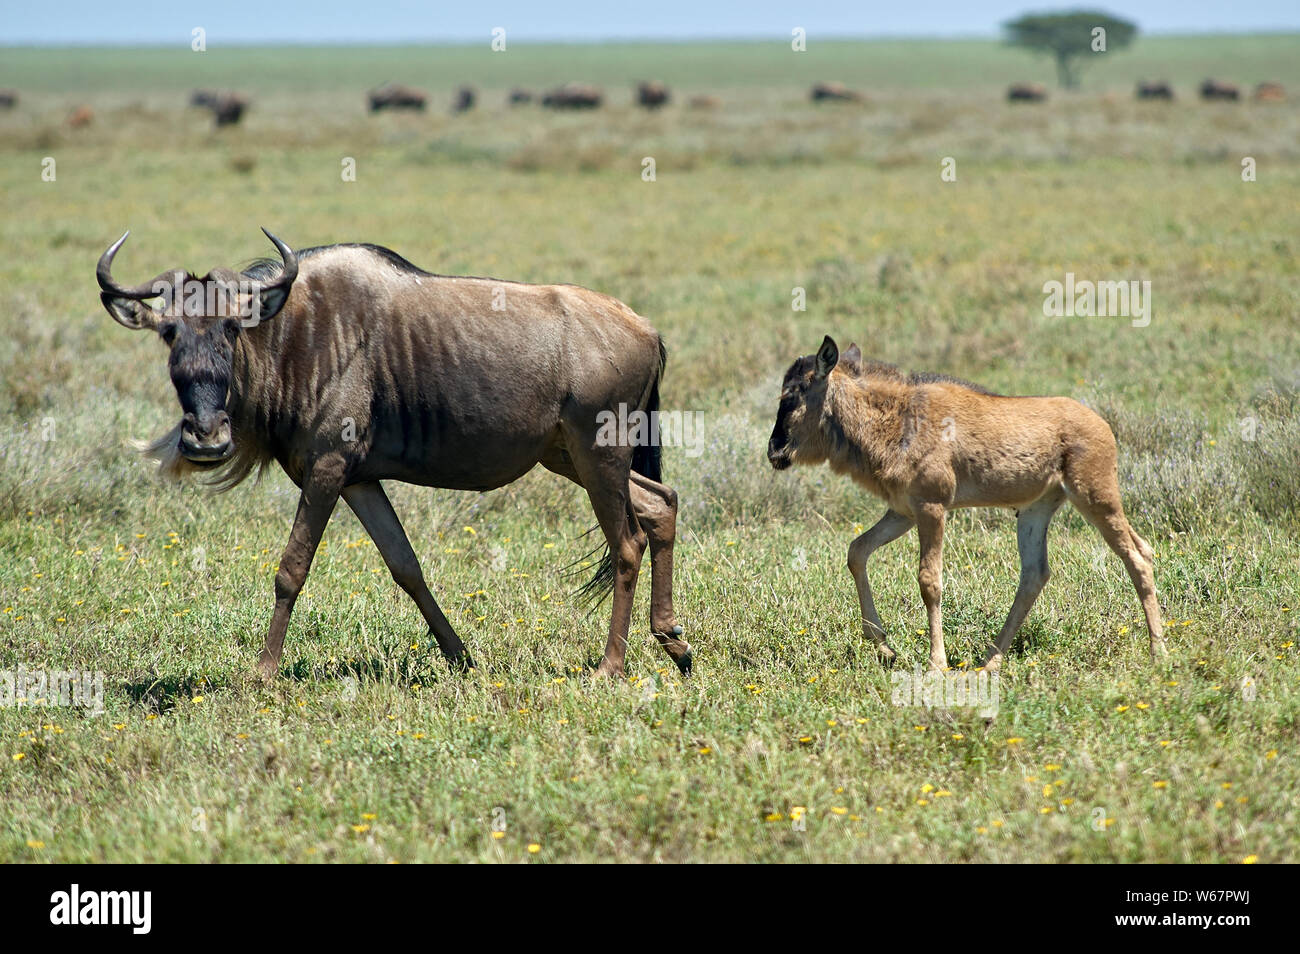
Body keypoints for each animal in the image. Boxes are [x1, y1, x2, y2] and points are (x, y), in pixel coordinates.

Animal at [96, 230, 689, 681]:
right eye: (168, 331)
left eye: (231, 327)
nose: (206, 439)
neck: (295, 337)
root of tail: (648, 330)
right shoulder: (358, 480)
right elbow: (406, 565)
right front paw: (461, 657)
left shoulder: (327, 469)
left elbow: (292, 567)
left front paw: (262, 673)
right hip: (569, 456)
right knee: (661, 504)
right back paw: (674, 644)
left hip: (598, 452)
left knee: (628, 541)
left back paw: (611, 667)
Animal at [767, 337, 1166, 672]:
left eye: (793, 393)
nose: (774, 452)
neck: (895, 420)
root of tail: (1104, 426)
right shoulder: (902, 512)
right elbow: (857, 551)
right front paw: (883, 645)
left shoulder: (932, 507)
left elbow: (929, 581)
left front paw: (936, 662)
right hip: (1036, 511)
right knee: (1036, 573)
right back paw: (990, 661)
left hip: (1096, 497)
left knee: (1136, 556)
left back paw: (1157, 651)